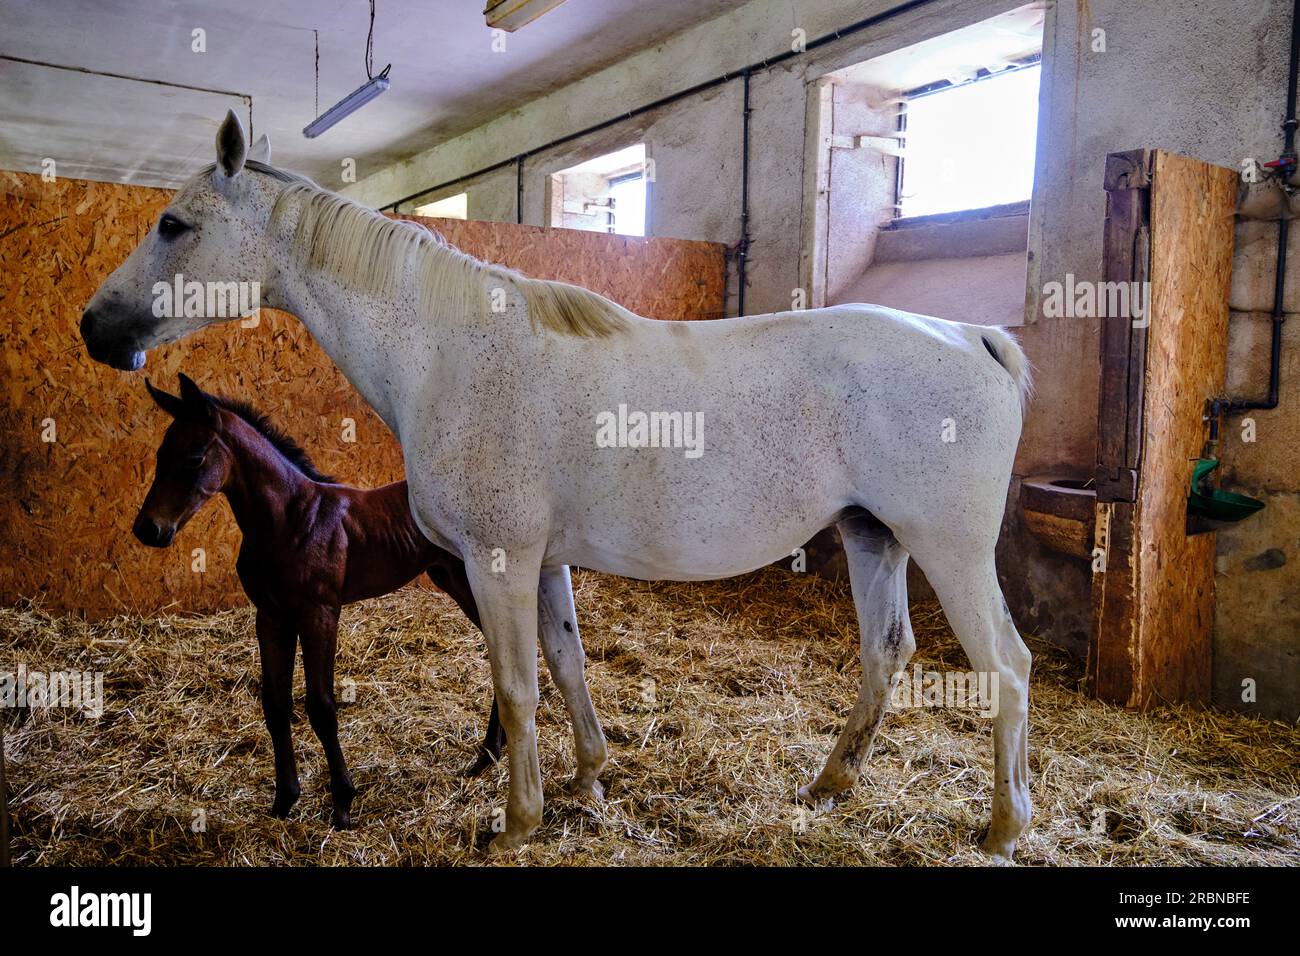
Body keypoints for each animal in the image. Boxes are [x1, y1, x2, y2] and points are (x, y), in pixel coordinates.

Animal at [133, 373, 505, 828]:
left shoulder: (319, 613)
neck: (290, 520)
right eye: (160, 454)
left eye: (194, 457)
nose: (148, 529)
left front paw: (342, 802)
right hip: (452, 579)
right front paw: (284, 800)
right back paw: (489, 754)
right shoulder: (271, 617)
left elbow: (321, 705)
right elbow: (275, 705)